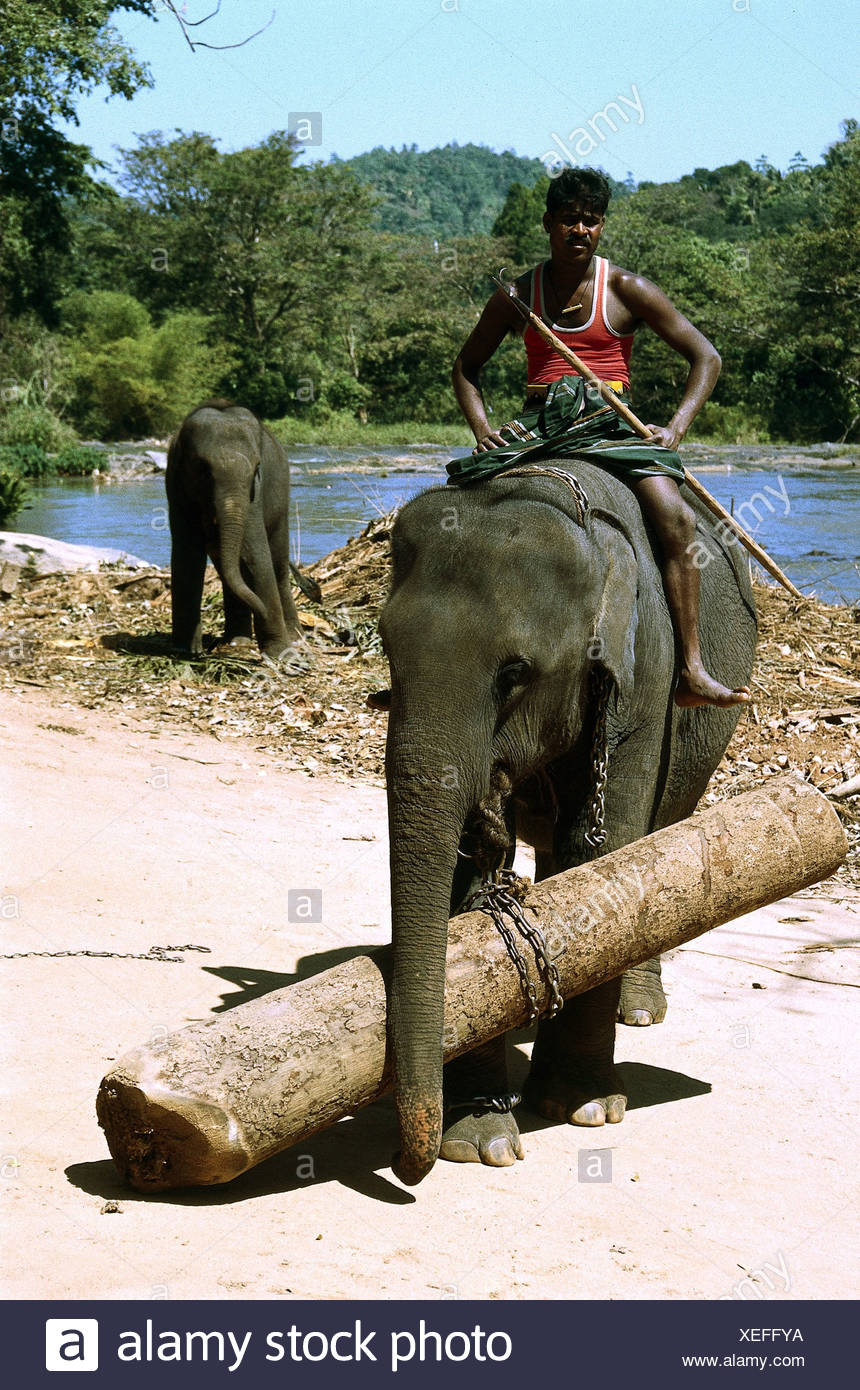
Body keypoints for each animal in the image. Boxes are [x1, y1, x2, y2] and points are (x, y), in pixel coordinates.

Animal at [166, 399, 302, 658]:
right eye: (202, 468)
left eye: (257, 468)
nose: (264, 612)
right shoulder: (175, 486)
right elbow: (187, 556)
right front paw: (184, 650)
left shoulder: (255, 494)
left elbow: (254, 553)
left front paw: (281, 654)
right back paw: (238, 641)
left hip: (282, 504)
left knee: (277, 564)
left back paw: (295, 636)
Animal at [378, 460, 757, 1185]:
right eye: (385, 650)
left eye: (515, 673)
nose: (409, 1167)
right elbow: (473, 870)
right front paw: (479, 1139)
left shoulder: (646, 674)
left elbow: (607, 849)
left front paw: (581, 1108)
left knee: (658, 832)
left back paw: (639, 1010)